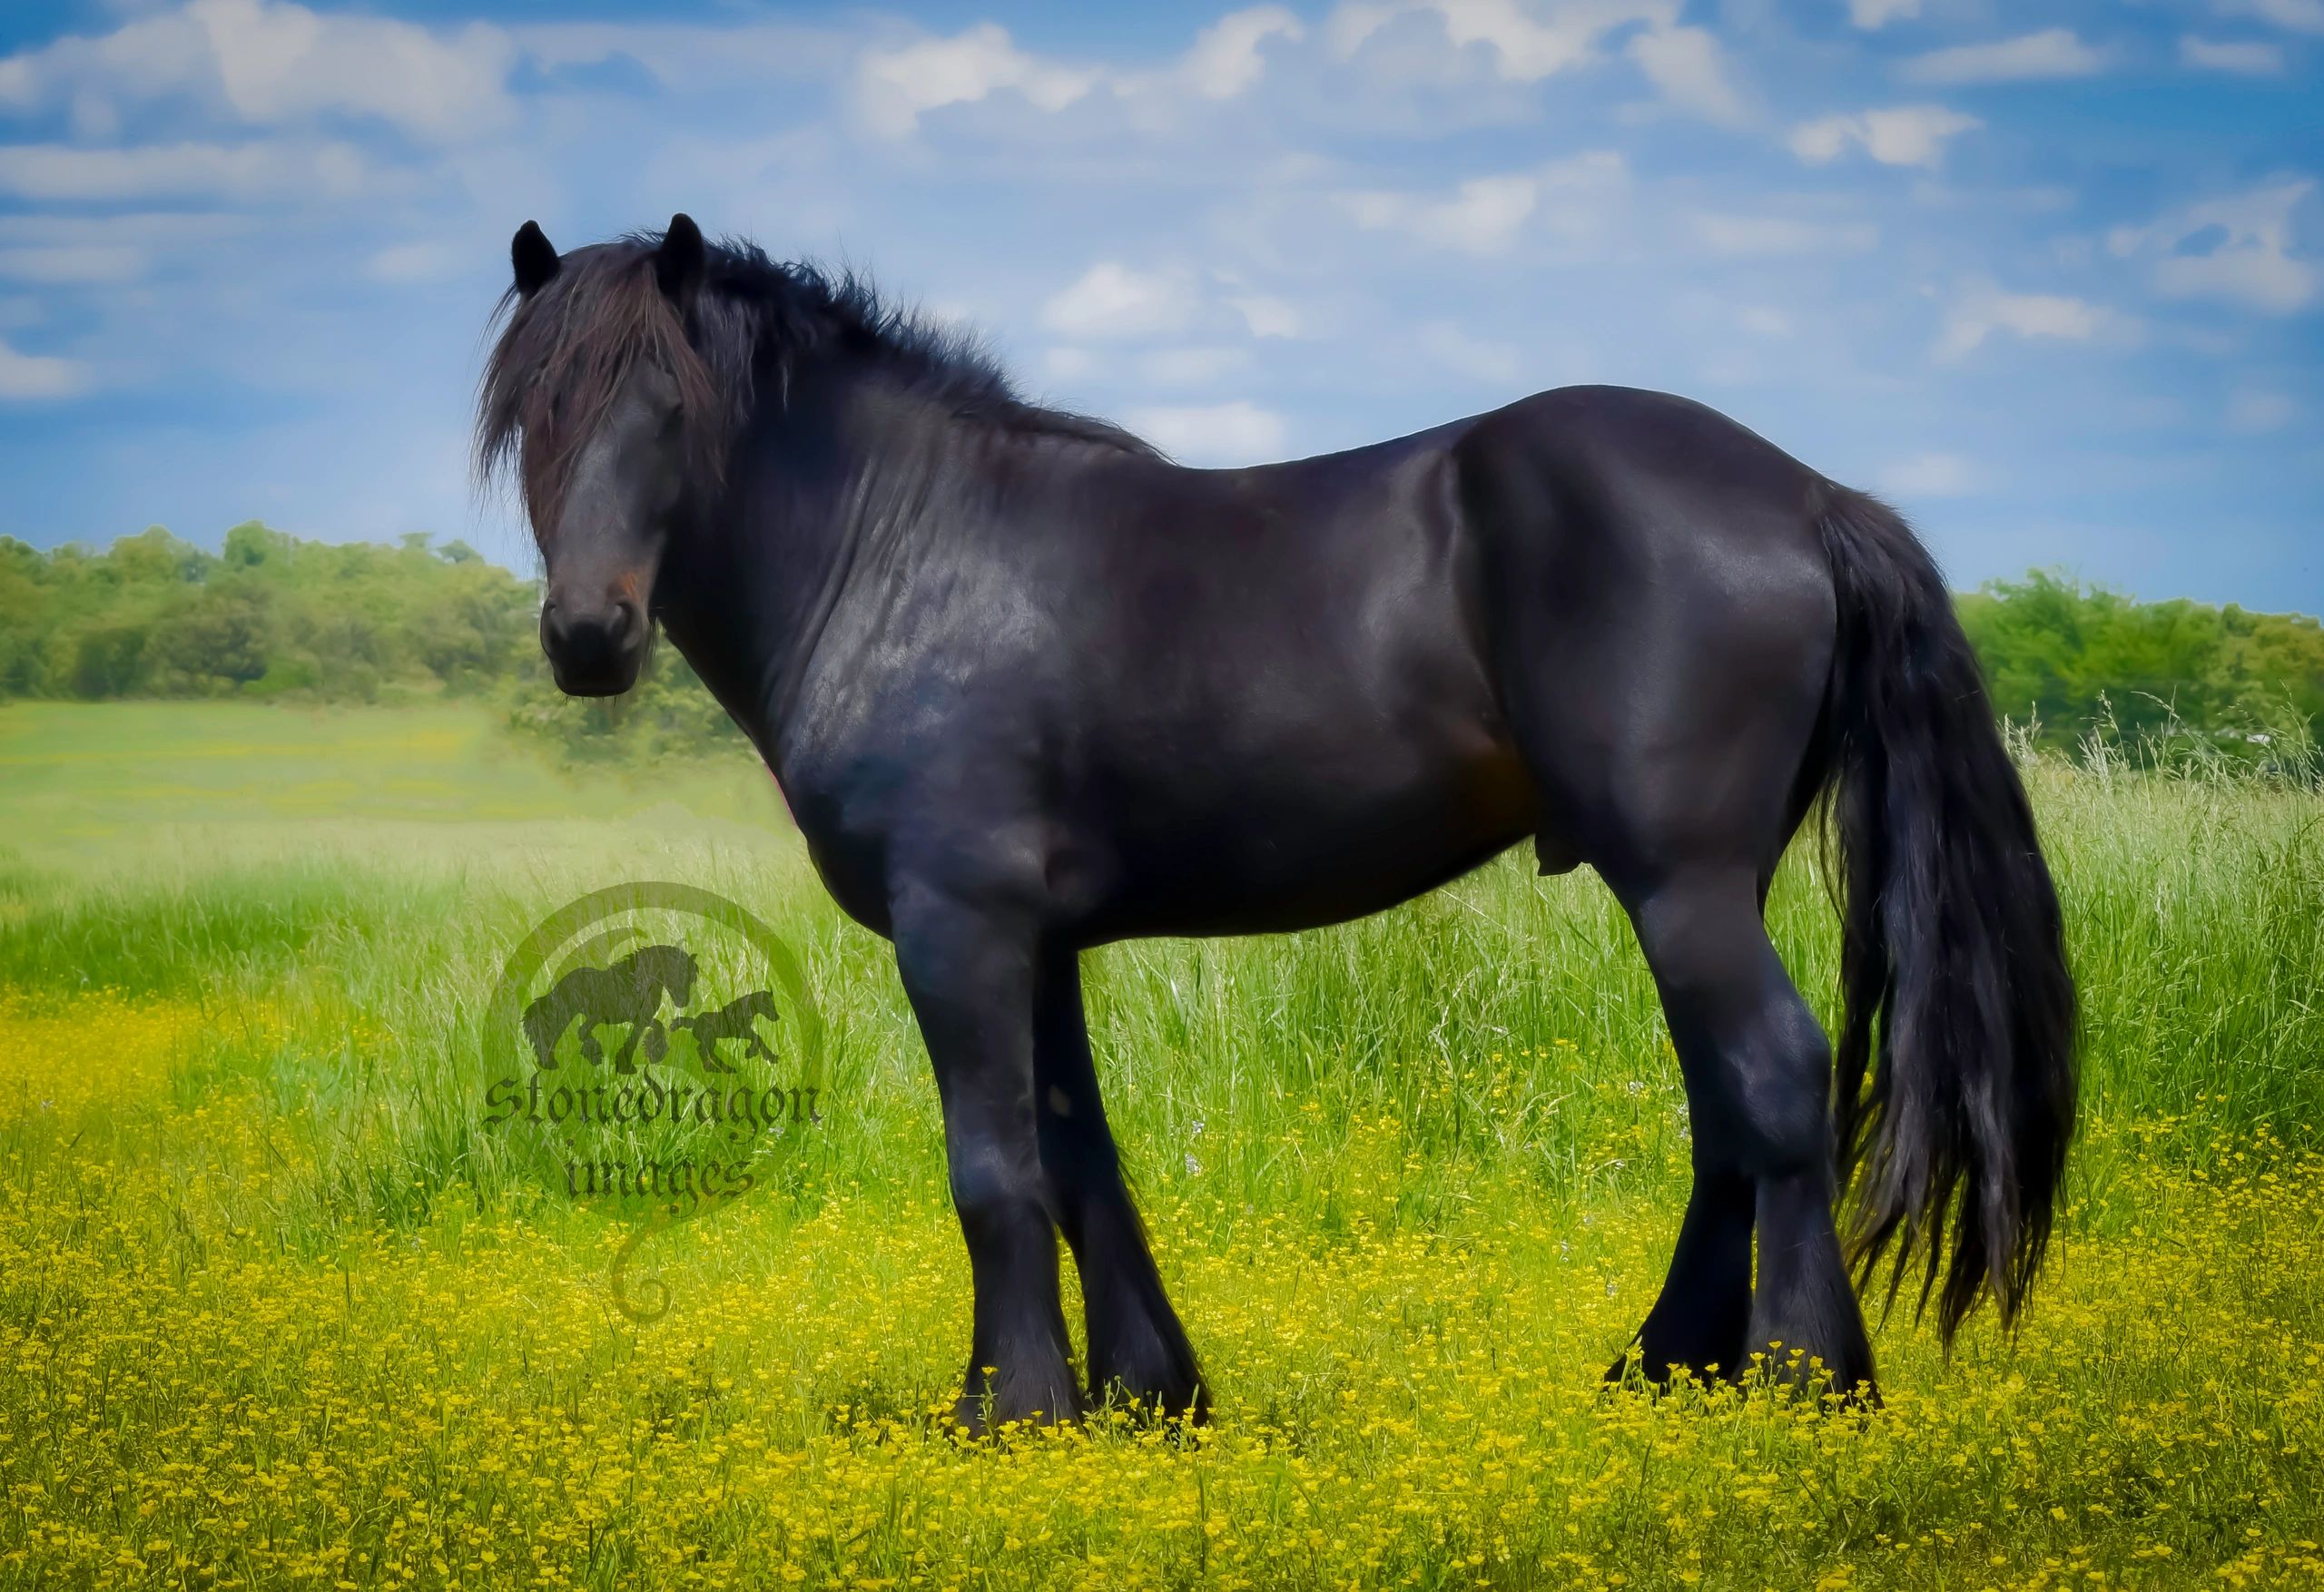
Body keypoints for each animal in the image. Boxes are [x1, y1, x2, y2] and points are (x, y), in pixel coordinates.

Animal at [522, 943, 699, 1075]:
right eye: (679, 973)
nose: (683, 1002)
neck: (638, 983)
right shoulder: (638, 1018)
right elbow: (642, 1035)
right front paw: (629, 1065)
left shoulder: (641, 1019)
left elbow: (650, 1031)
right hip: (584, 1015)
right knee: (574, 1032)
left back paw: (550, 1063)